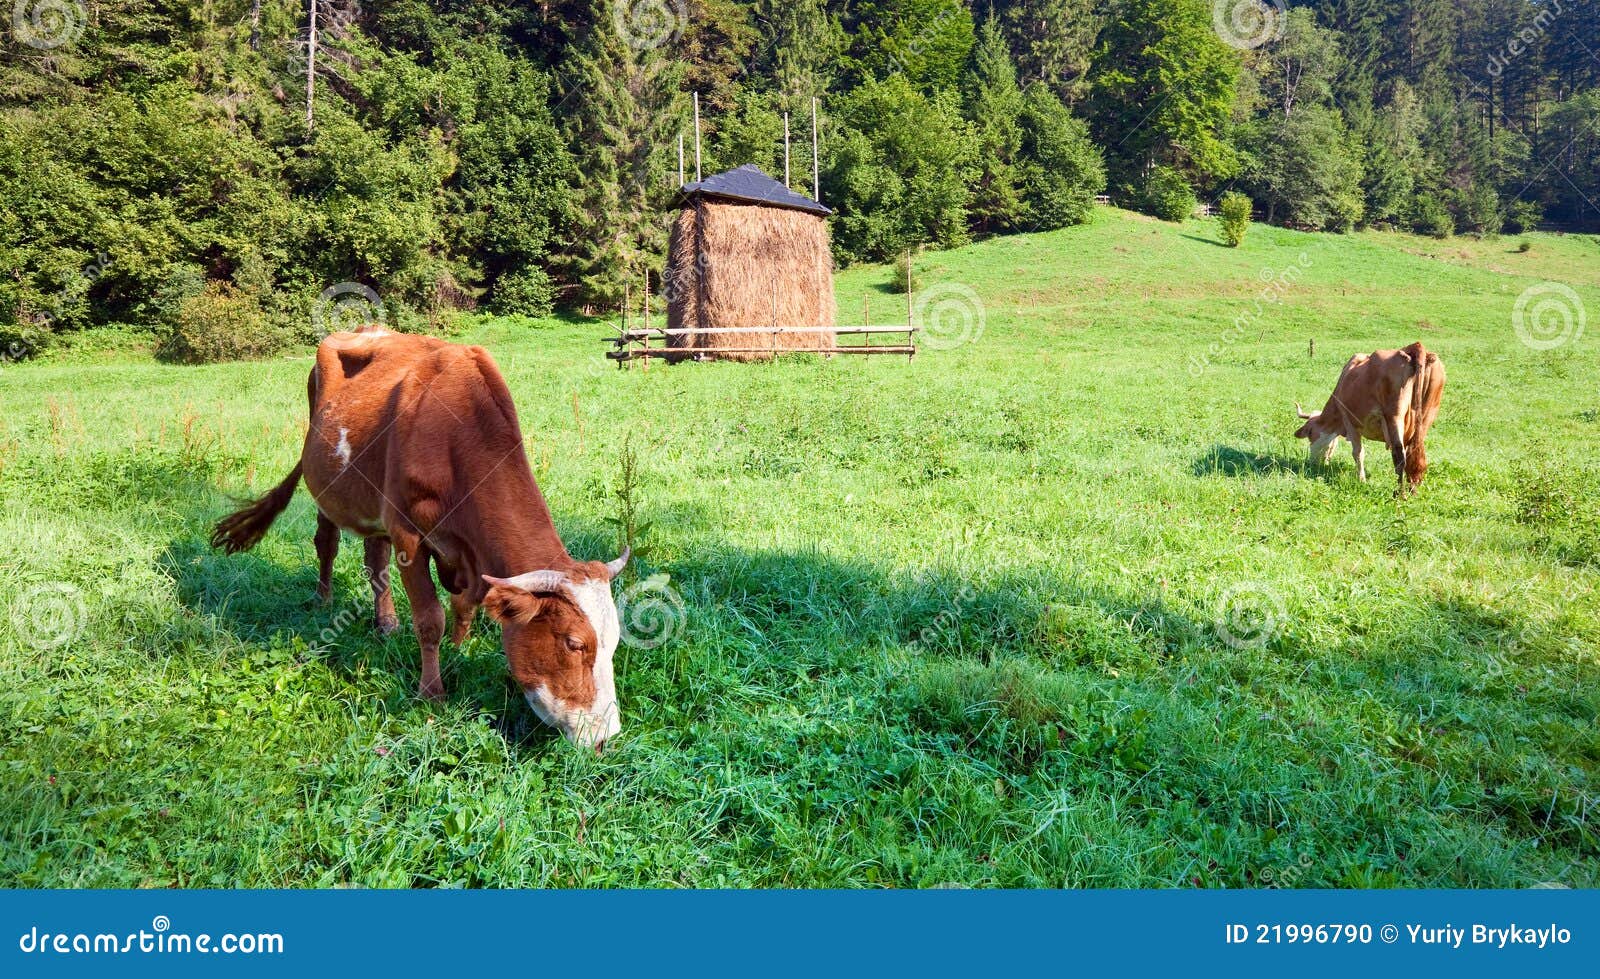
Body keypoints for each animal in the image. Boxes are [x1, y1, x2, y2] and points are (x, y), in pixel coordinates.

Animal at [211, 326, 628, 749]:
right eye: (574, 643)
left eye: (615, 640)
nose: (605, 737)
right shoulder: (408, 536)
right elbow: (430, 618)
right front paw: (432, 692)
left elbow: (463, 606)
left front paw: (460, 648)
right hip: (328, 489)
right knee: (326, 543)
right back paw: (324, 598)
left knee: (374, 557)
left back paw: (386, 621)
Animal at [1293, 341, 1445, 495]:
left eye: (1310, 434)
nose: (1312, 464)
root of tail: (1414, 347)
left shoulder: (1349, 422)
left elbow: (1358, 453)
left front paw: (1361, 480)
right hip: (1426, 417)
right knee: (1414, 454)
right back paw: (1412, 489)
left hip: (1394, 416)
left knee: (1399, 455)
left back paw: (1400, 494)